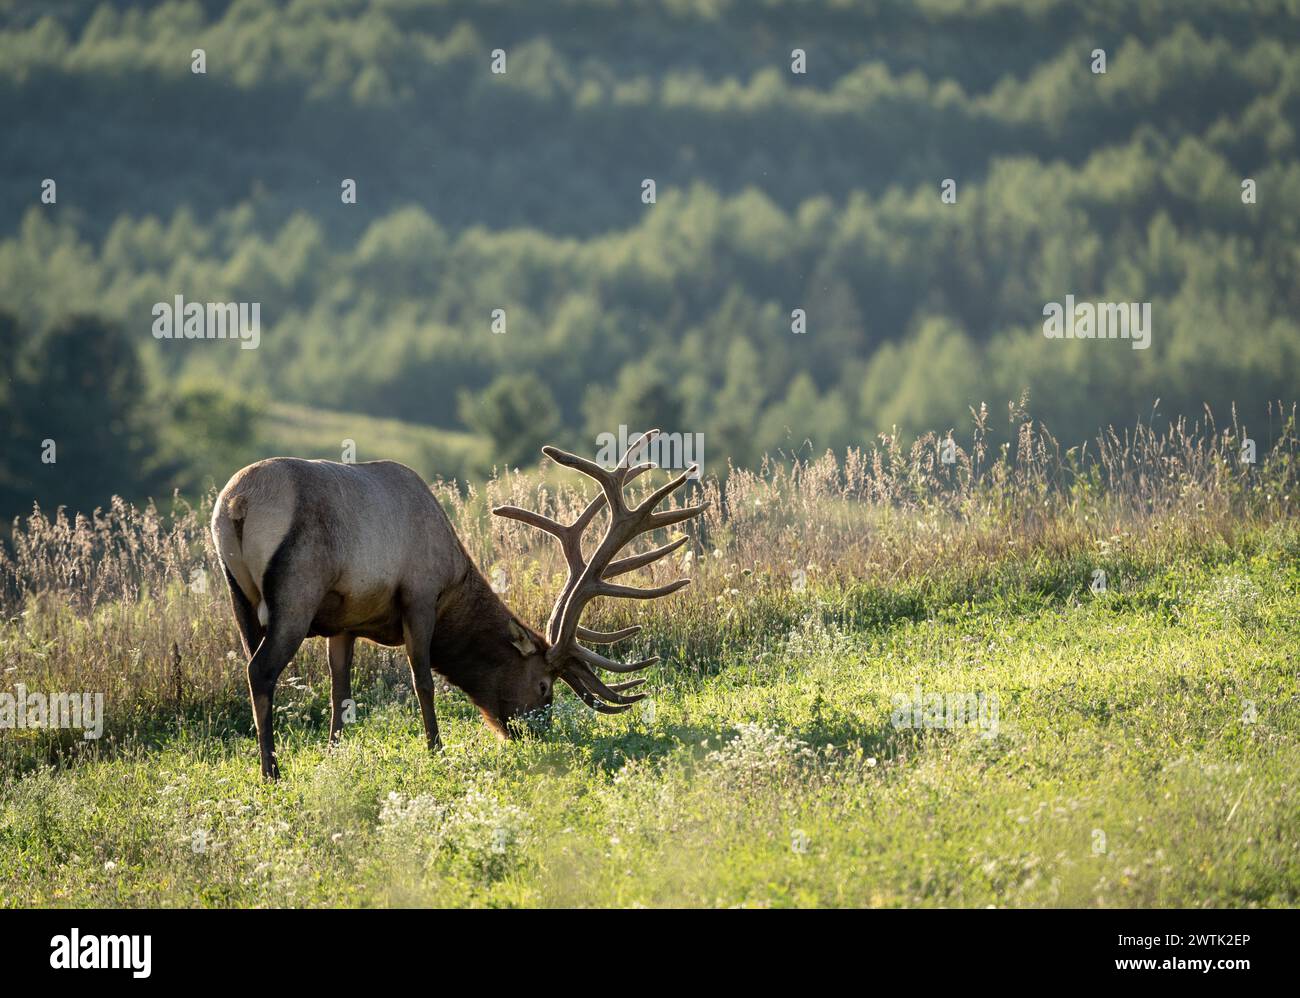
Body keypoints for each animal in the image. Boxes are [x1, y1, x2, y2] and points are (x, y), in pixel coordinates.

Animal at [210, 429, 704, 779]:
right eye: (544, 685)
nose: (536, 733)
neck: (454, 576)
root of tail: (237, 504)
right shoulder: (419, 594)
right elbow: (424, 679)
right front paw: (436, 748)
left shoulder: (346, 619)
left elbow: (340, 689)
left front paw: (336, 751)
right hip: (296, 591)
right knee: (260, 669)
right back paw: (271, 770)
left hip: (239, 596)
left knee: (251, 666)